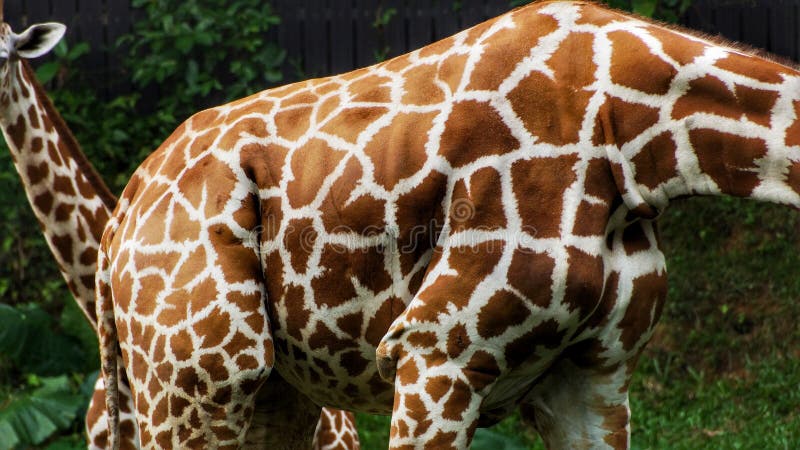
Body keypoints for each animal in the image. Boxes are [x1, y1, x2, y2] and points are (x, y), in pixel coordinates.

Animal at [96, 0, 800, 448]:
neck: (639, 144)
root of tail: (119, 220)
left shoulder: (595, 373)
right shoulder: (436, 349)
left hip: (274, 395)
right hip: (196, 377)